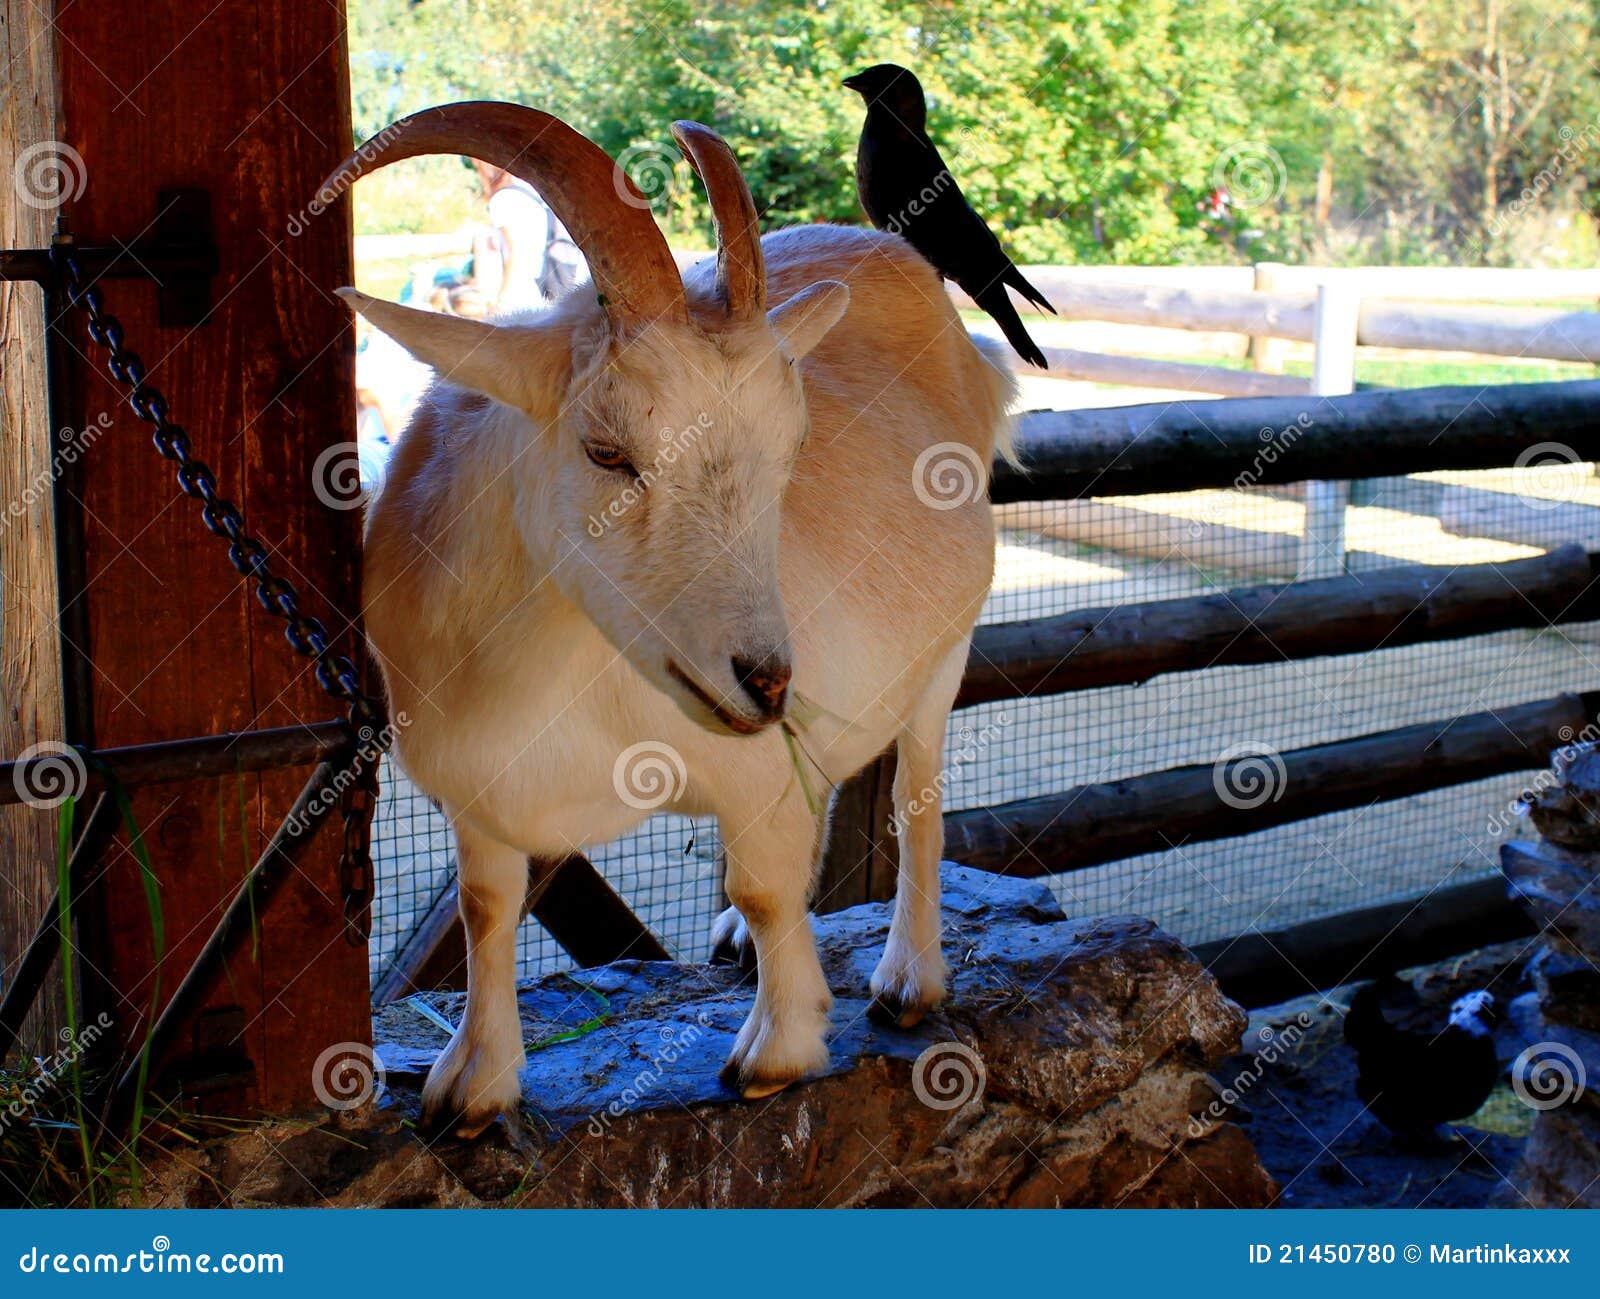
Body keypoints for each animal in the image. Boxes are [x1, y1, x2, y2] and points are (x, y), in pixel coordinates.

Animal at [323, 102, 1015, 1135]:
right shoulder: (477, 795)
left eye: (793, 445)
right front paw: (470, 1085)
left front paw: (779, 1048)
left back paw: (908, 980)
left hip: (945, 648)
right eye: (607, 451)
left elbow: (762, 883)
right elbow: (489, 905)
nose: (767, 678)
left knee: (916, 795)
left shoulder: (759, 766)